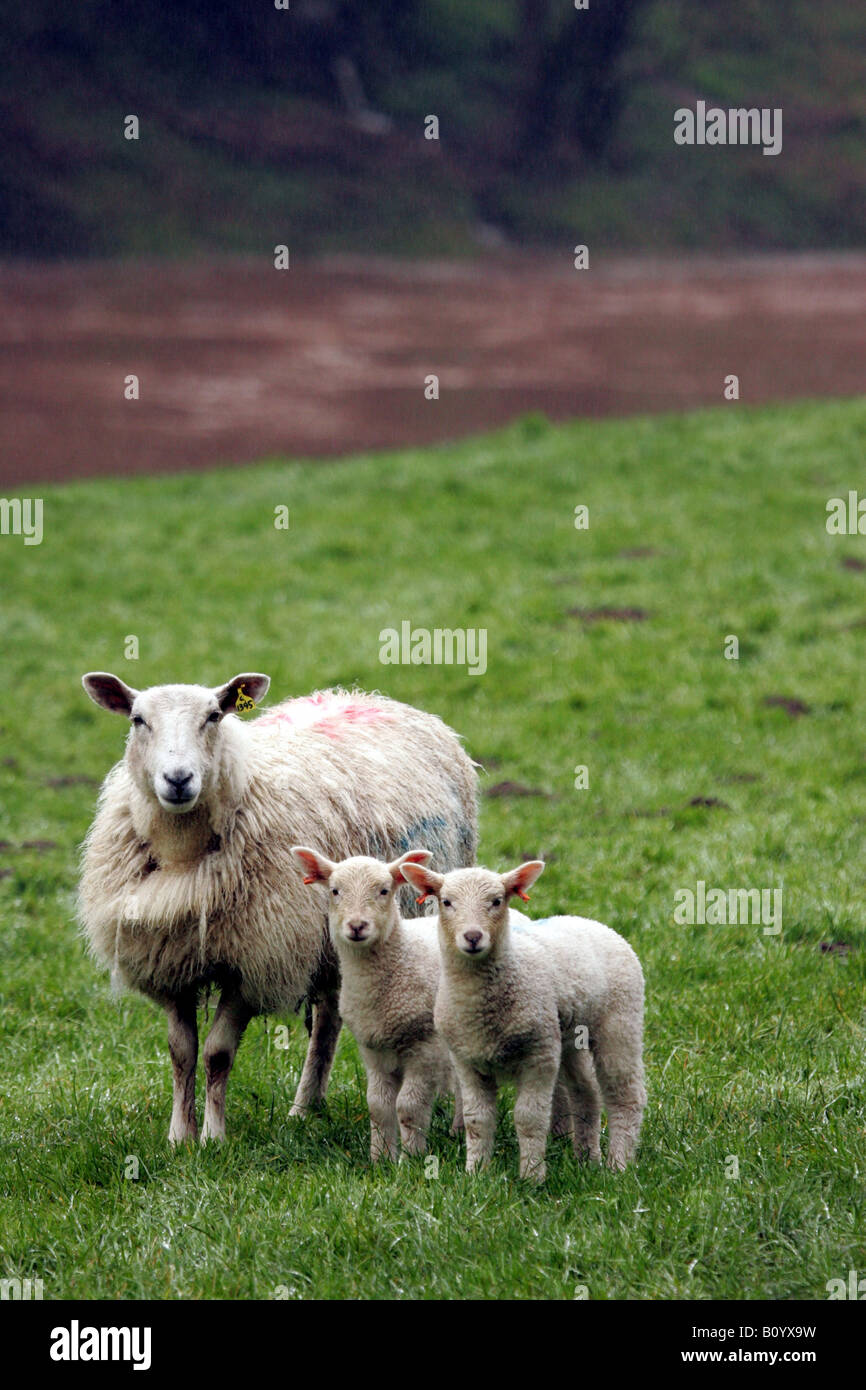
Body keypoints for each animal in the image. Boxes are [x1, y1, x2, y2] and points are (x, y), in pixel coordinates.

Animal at [78, 674, 478, 1144]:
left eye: (214, 716)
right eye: (138, 720)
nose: (178, 779)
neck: (181, 852)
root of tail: (368, 698)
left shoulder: (254, 963)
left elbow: (216, 1053)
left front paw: (213, 1139)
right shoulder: (172, 961)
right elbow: (181, 1052)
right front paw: (179, 1137)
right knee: (328, 1019)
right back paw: (305, 1108)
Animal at [400, 859, 646, 1182]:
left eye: (497, 901)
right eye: (446, 902)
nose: (473, 937)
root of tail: (596, 924)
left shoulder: (539, 1055)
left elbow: (529, 1118)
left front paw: (531, 1177)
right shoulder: (466, 1059)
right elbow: (477, 1119)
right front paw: (476, 1173)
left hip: (620, 1023)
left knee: (626, 1097)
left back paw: (618, 1164)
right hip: (570, 1037)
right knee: (586, 1093)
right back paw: (586, 1159)